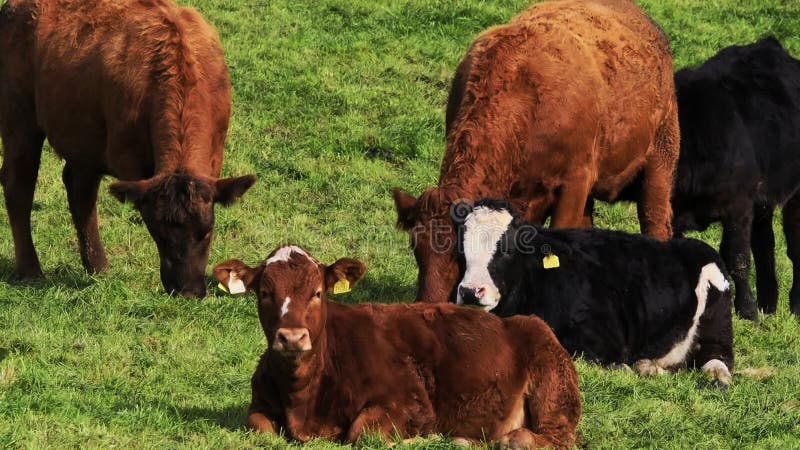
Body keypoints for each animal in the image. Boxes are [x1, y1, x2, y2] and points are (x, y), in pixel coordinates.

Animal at [0, 0, 255, 297]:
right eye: (158, 232)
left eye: (207, 230)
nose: (187, 291)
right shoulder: (129, 159)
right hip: (19, 116)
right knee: (19, 183)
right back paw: (31, 270)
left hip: (84, 136)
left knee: (79, 188)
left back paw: (97, 266)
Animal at [213, 245, 582, 448]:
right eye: (264, 293)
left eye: (317, 292)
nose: (291, 337)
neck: (303, 398)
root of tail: (520, 320)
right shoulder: (259, 403)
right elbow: (259, 428)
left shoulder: (412, 401)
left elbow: (362, 433)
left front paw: (420, 438)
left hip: (553, 386)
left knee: (553, 436)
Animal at [393, 0, 679, 303]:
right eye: (415, 247)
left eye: (461, 253)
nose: (428, 304)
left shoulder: (575, 182)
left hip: (661, 161)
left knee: (656, 223)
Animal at [453, 199, 735, 385]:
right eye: (461, 247)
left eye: (509, 249)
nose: (470, 291)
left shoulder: (603, 341)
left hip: (716, 320)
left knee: (718, 357)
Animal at [672, 37, 800, 320]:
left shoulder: (737, 205)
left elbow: (737, 257)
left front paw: (747, 310)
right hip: (762, 201)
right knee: (765, 245)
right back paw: (768, 303)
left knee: (795, 244)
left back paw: (795, 305)